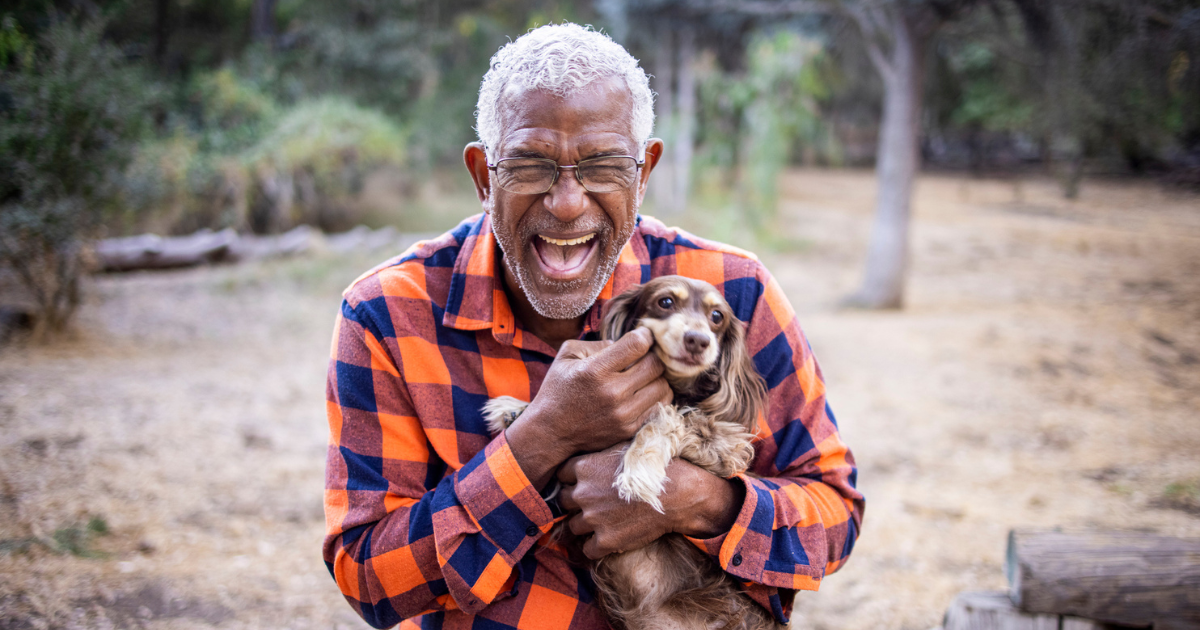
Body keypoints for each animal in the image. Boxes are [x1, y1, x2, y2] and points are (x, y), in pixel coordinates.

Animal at [482, 277, 782, 628]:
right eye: (665, 302)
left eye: (717, 316)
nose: (698, 340)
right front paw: (514, 409)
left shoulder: (727, 447)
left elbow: (664, 418)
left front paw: (638, 471)